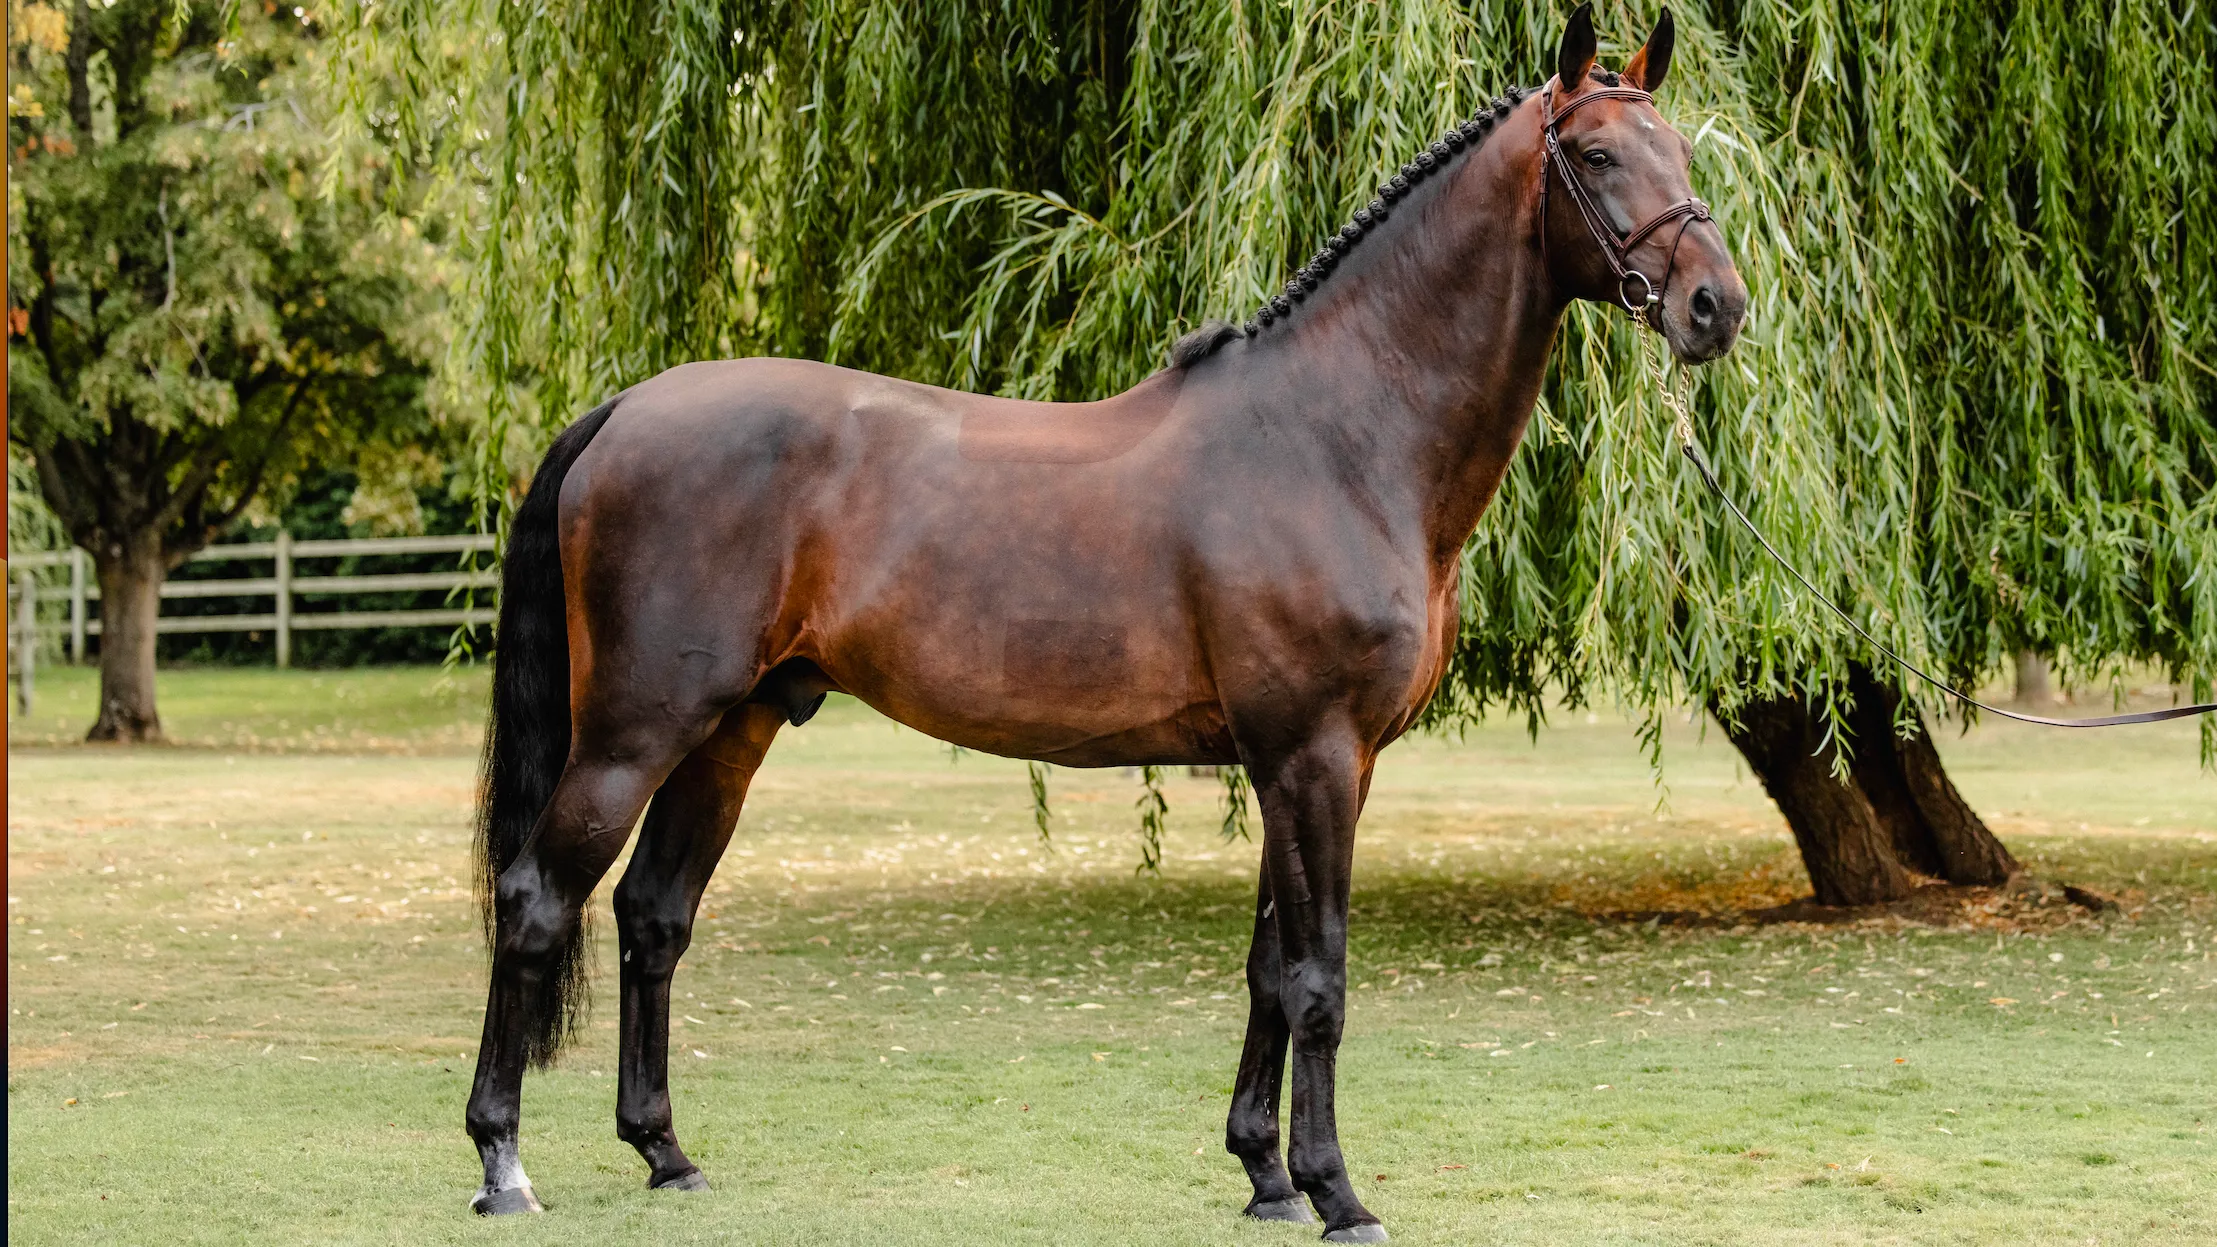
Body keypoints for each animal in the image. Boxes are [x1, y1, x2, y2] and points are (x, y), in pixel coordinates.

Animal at [463, 6, 1746, 1239]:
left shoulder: (1319, 761)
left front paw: (1265, 1175)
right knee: (535, 902)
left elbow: (1268, 966)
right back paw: (502, 1165)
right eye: (1594, 153)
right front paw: (1337, 1192)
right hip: (633, 732)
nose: (1715, 305)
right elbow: (1319, 978)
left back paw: (665, 1153)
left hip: (731, 730)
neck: (1339, 434)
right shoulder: (1313, 754)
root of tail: (623, 408)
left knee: (653, 915)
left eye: (1681, 150)